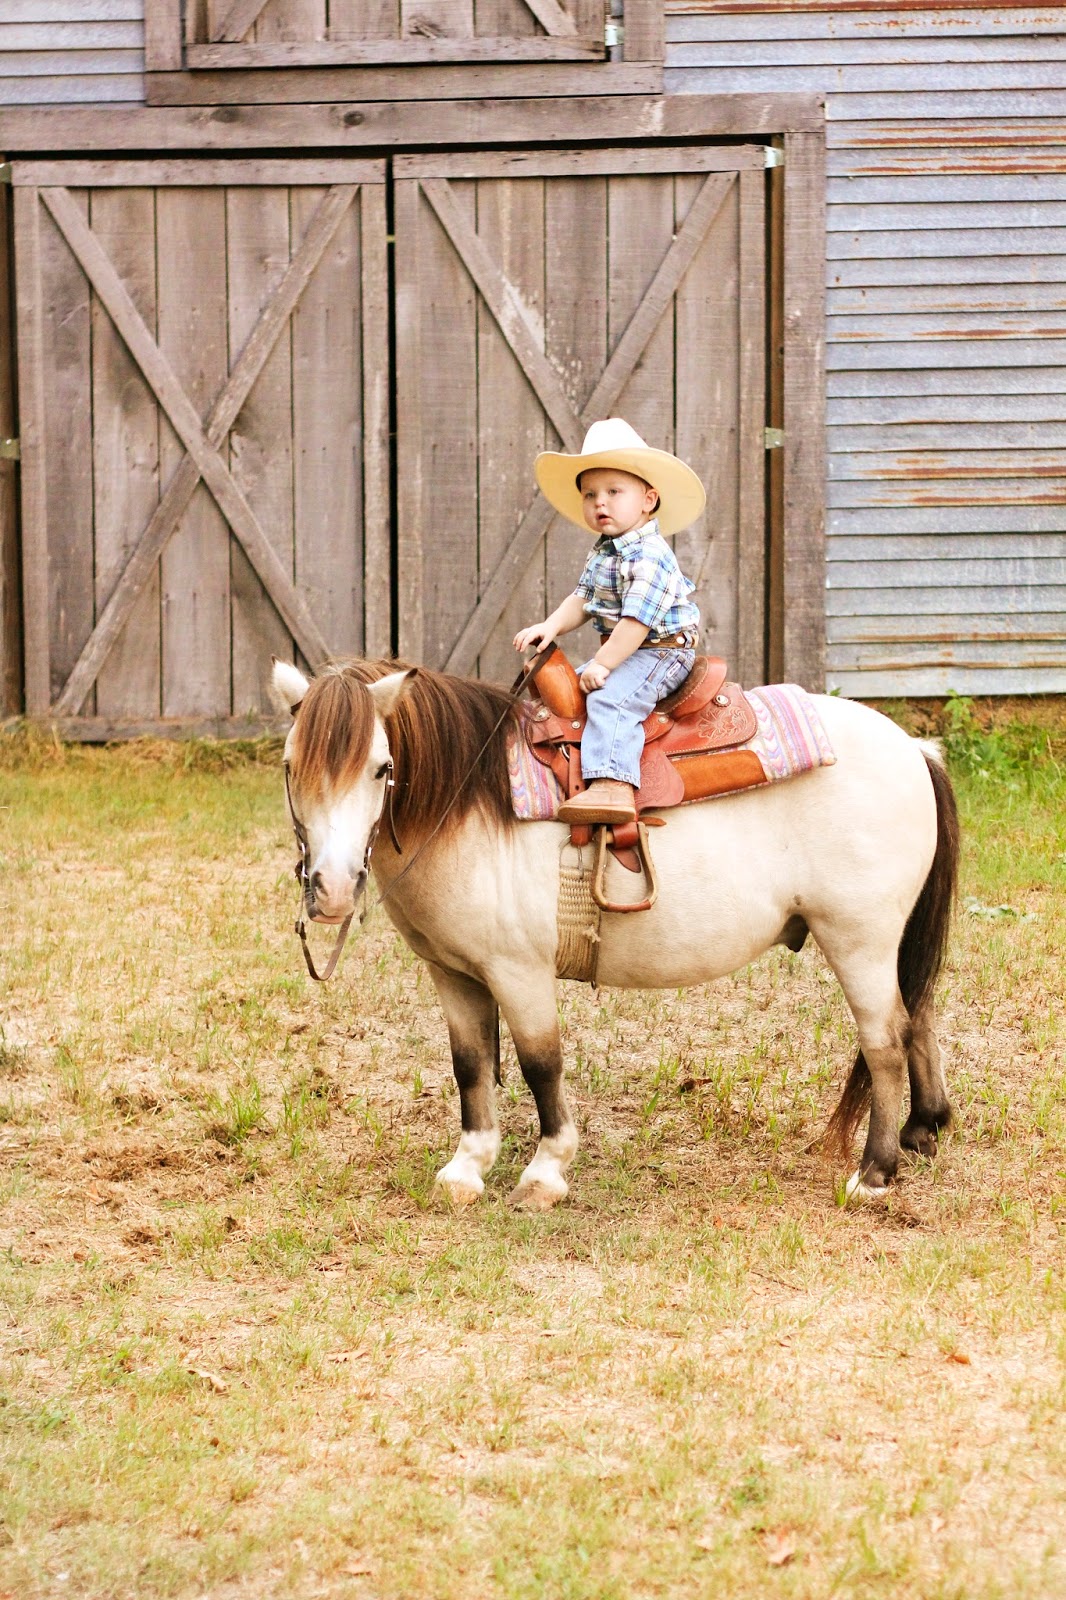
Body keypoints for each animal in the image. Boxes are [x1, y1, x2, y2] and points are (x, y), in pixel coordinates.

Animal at [272, 656, 959, 1213]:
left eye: (381, 767)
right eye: (289, 766)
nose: (331, 890)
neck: (468, 803)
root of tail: (914, 749)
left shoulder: (519, 972)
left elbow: (540, 1064)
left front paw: (545, 1173)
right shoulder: (454, 974)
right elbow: (471, 1065)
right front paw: (467, 1169)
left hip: (858, 941)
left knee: (885, 1040)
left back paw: (874, 1173)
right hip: (888, 942)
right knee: (918, 1012)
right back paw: (922, 1130)